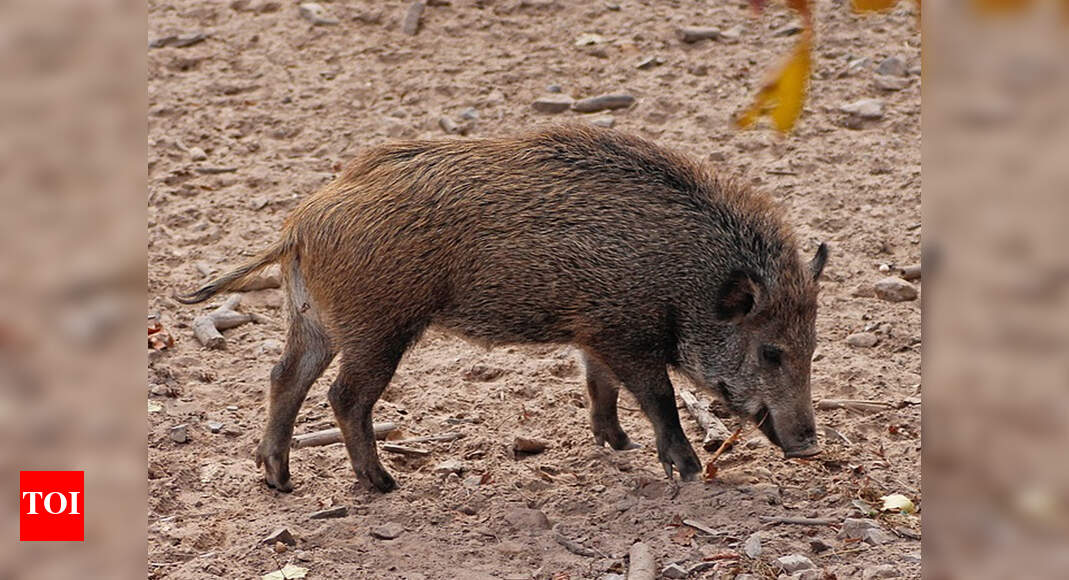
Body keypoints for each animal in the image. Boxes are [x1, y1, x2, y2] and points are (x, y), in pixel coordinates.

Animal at [177, 124, 827, 493]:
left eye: (813, 349)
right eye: (772, 350)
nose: (809, 445)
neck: (688, 279)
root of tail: (301, 224)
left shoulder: (594, 329)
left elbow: (599, 386)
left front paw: (615, 446)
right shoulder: (624, 330)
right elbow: (659, 397)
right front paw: (687, 472)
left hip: (316, 321)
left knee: (284, 377)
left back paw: (279, 480)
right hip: (379, 325)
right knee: (345, 397)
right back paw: (383, 485)